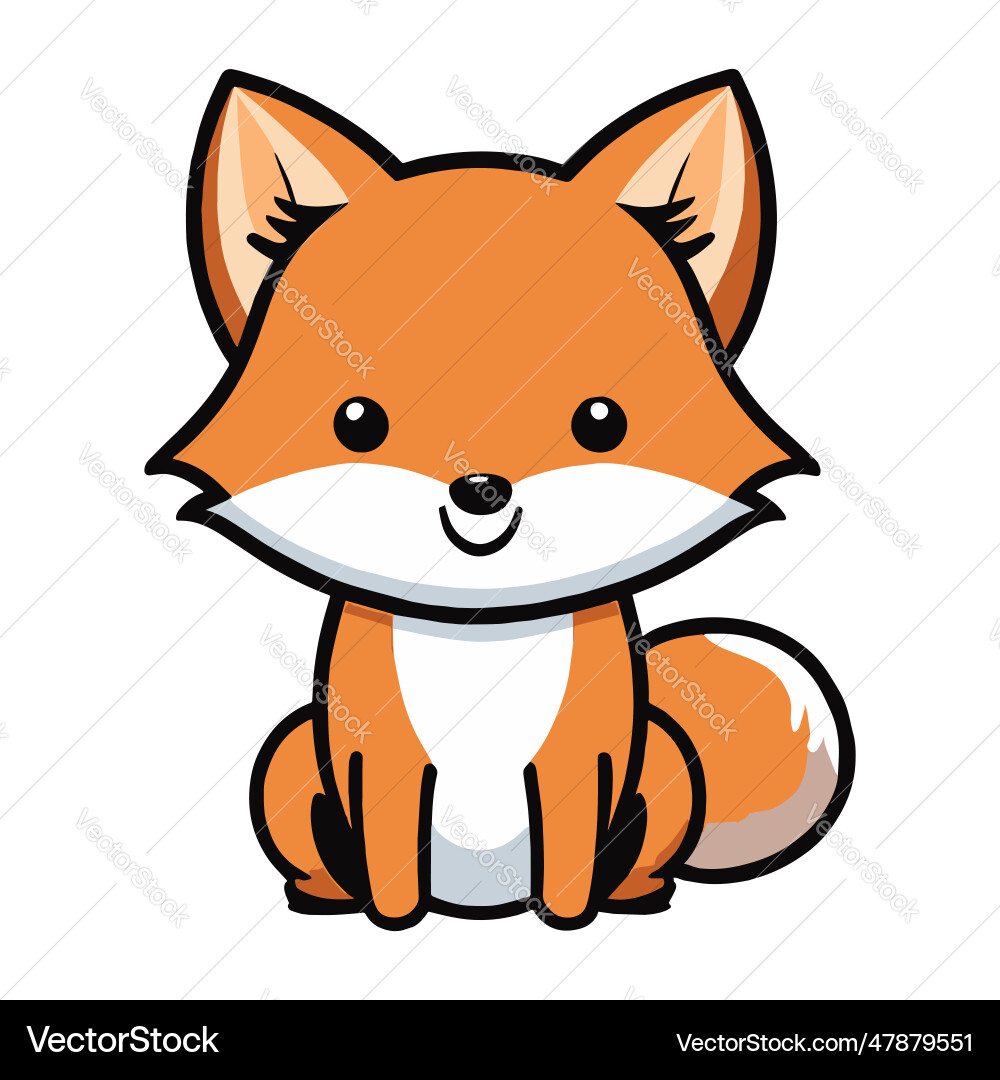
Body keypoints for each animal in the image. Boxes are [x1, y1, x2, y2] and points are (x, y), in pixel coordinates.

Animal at [148, 68, 854, 930]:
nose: (480, 488)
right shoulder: (377, 754)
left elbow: (570, 856)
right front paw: (395, 923)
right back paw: (323, 897)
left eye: (601, 421)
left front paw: (568, 922)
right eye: (358, 422)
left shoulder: (582, 755)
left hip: (661, 764)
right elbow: (391, 856)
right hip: (290, 755)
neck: (480, 634)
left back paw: (637, 895)